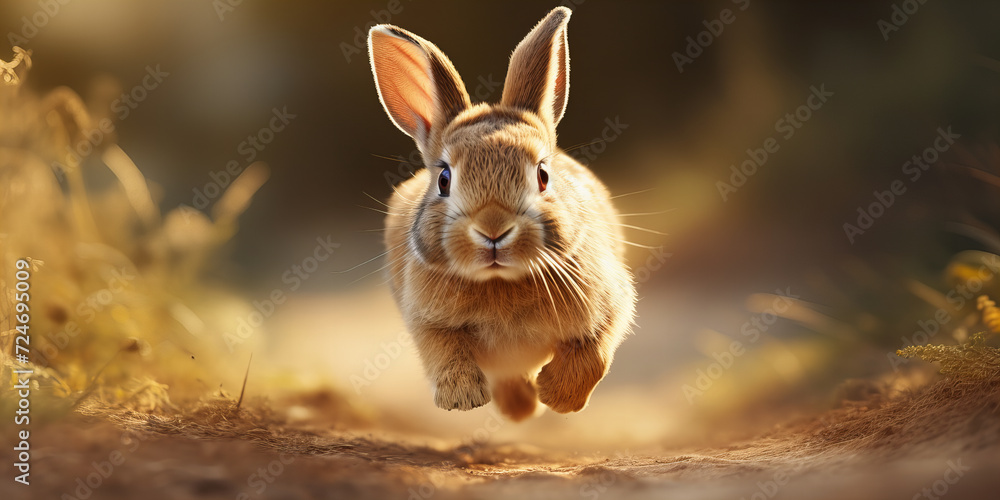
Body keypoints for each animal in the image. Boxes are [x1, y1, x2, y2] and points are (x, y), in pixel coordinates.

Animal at [367, 7, 636, 421]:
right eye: (444, 179)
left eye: (543, 175)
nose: (493, 229)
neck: (500, 281)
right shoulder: (426, 322)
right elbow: (444, 353)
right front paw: (463, 399)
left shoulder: (611, 305)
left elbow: (594, 354)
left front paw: (557, 396)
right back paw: (518, 407)